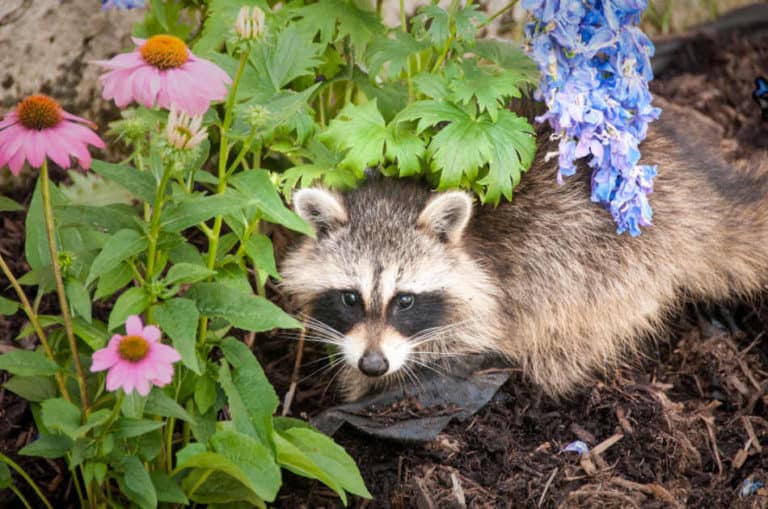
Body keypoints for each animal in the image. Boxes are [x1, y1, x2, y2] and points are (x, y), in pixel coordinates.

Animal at [279, 99, 768, 401]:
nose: (373, 365)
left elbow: (468, 337)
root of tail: (696, 192)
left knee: (573, 326)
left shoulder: (498, 292)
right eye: (350, 297)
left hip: (615, 261)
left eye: (405, 301)